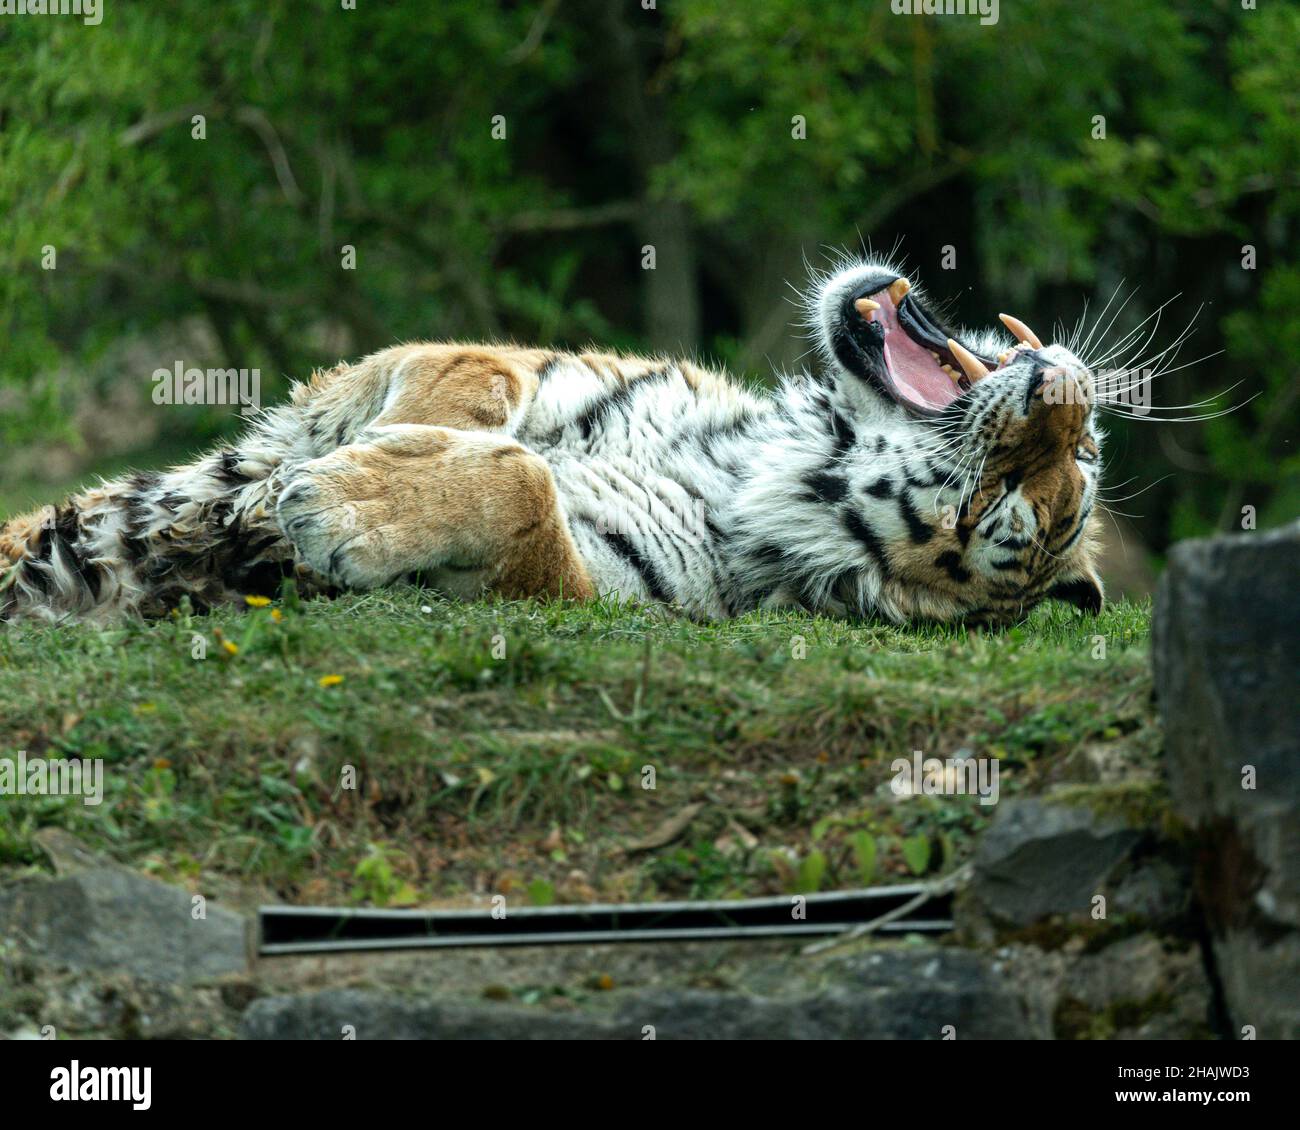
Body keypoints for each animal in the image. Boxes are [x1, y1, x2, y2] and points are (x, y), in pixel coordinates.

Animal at [0, 257, 1104, 627]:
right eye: (1083, 459)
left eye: (990, 505)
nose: (1067, 391)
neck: (751, 467)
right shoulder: (481, 359)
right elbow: (482, 384)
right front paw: (385, 448)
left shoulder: (598, 585)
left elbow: (528, 490)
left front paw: (339, 502)